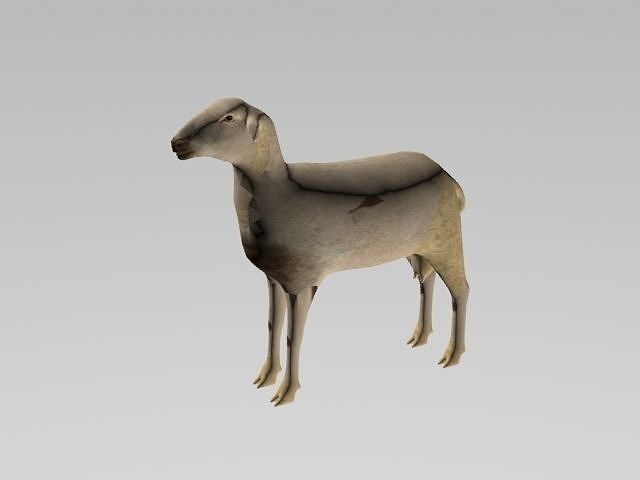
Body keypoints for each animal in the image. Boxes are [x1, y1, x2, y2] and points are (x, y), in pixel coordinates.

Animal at [170, 97, 469, 406]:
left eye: (229, 118)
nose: (176, 143)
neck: (280, 194)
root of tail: (450, 178)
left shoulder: (303, 280)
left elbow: (293, 337)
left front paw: (285, 394)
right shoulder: (274, 277)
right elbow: (272, 324)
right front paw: (265, 377)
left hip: (447, 240)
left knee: (461, 290)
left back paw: (451, 356)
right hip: (419, 248)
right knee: (426, 281)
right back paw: (419, 337)